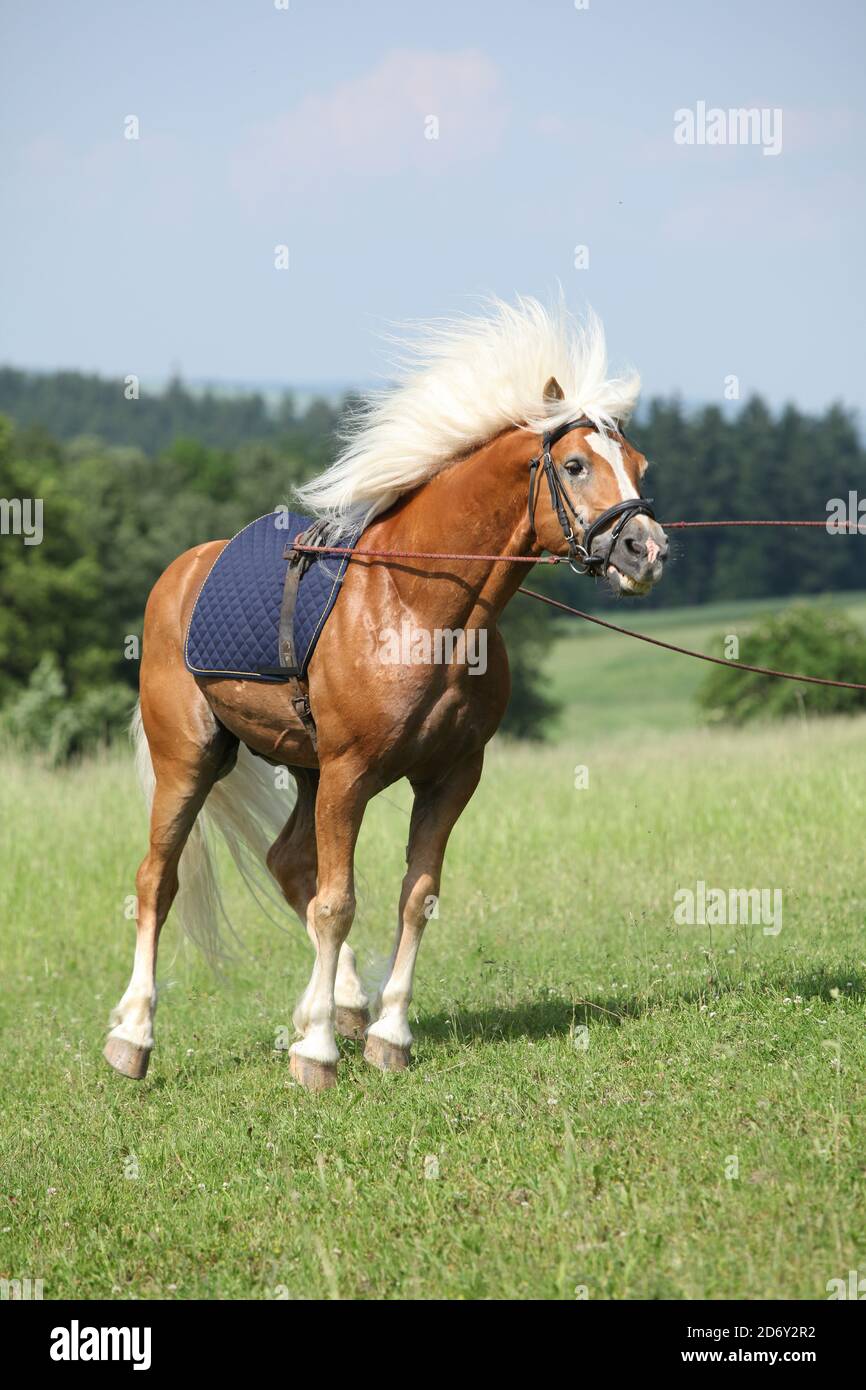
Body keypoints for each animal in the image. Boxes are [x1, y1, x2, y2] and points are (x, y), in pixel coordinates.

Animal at [104, 299, 670, 1091]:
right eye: (575, 464)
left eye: (639, 466)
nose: (646, 552)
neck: (420, 606)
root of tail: (180, 574)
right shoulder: (352, 772)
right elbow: (339, 903)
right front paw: (316, 1055)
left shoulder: (449, 778)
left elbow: (415, 897)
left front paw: (386, 1033)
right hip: (191, 760)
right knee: (159, 880)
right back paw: (134, 1035)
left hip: (305, 769)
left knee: (289, 863)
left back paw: (339, 1003)